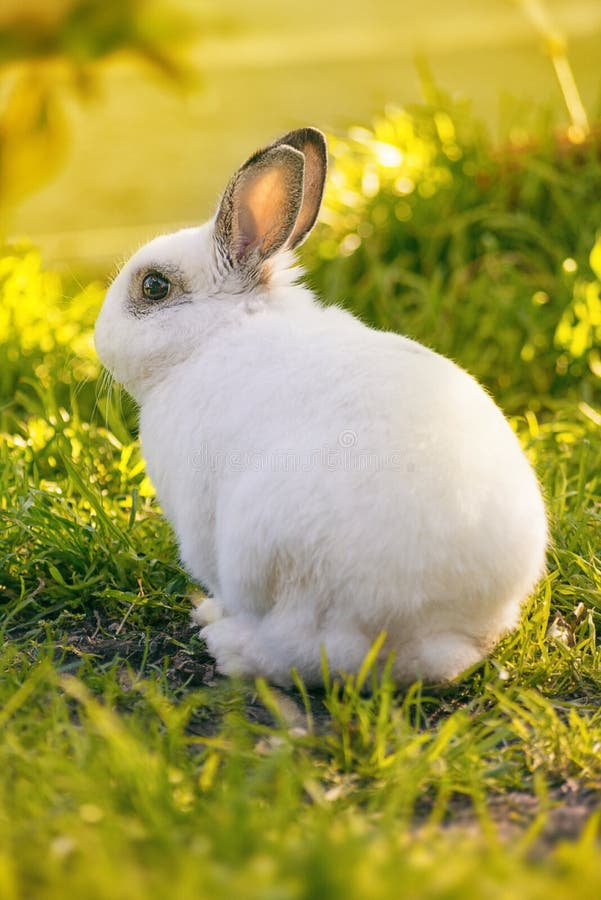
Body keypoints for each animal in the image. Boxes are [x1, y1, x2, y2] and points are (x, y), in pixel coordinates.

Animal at [95, 127, 547, 686]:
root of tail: (437, 634)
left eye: (153, 287)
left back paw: (228, 643)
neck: (216, 333)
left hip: (267, 558)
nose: (97, 336)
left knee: (300, 651)